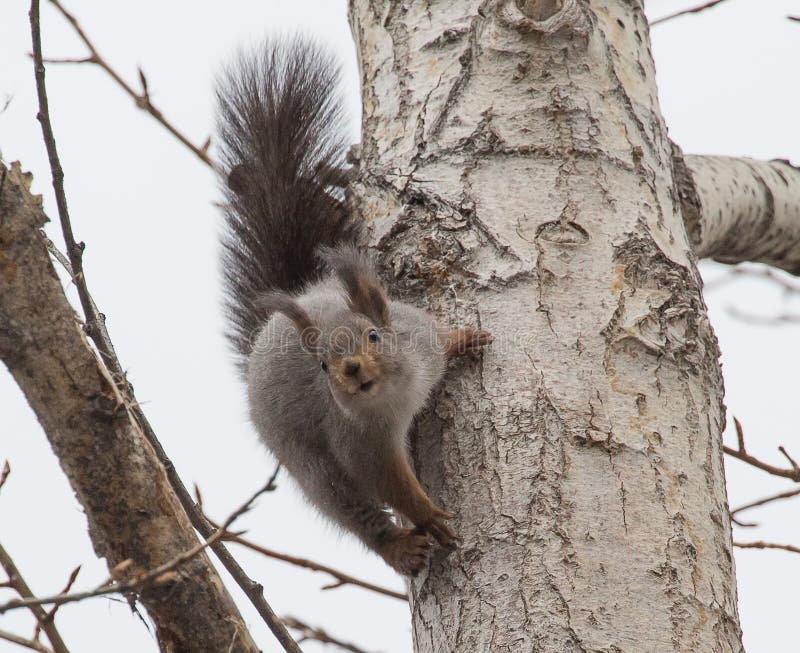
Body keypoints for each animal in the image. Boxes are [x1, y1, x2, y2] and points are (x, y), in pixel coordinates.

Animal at [216, 36, 491, 575]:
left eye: (374, 334)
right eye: (322, 366)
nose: (351, 370)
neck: (398, 395)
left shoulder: (419, 341)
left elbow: (439, 338)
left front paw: (466, 339)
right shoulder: (359, 442)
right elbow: (392, 486)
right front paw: (429, 515)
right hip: (315, 468)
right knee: (354, 512)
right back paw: (400, 546)